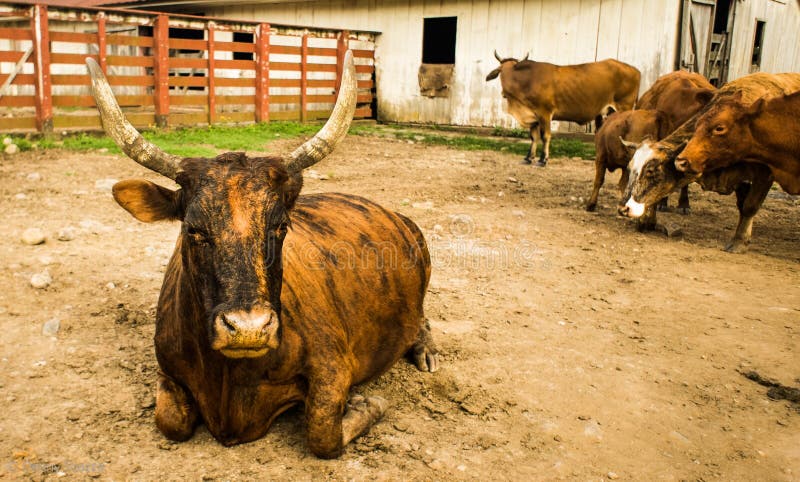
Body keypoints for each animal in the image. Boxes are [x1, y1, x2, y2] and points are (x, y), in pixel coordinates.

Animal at [85, 52, 439, 459]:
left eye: (280, 226)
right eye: (193, 230)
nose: (248, 329)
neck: (230, 382)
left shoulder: (333, 367)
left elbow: (323, 433)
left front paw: (367, 403)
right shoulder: (168, 371)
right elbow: (171, 422)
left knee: (423, 318)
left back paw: (426, 350)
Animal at [486, 52, 640, 167]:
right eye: (500, 71)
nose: (504, 92)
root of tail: (635, 70)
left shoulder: (544, 113)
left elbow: (545, 136)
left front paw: (543, 160)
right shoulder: (533, 116)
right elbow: (533, 137)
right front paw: (528, 158)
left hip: (623, 107)